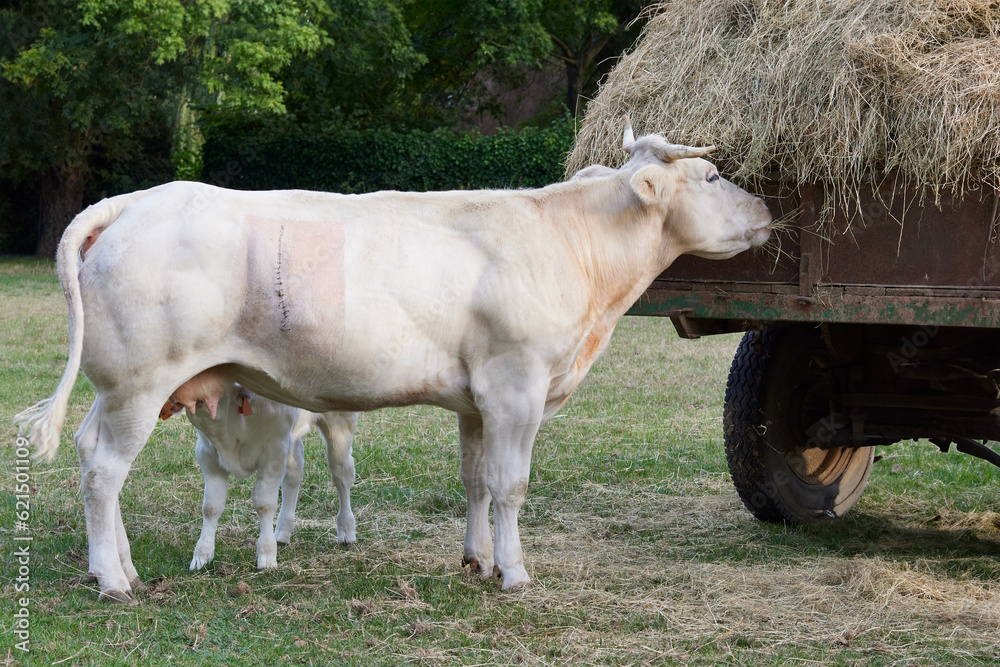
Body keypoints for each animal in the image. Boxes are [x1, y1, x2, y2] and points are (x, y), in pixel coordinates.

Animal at [177, 383, 358, 572]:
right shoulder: (207, 455)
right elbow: (211, 507)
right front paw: (202, 555)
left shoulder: (274, 453)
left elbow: (264, 503)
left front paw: (266, 556)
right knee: (294, 473)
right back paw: (282, 532)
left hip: (340, 424)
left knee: (342, 475)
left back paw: (346, 531)